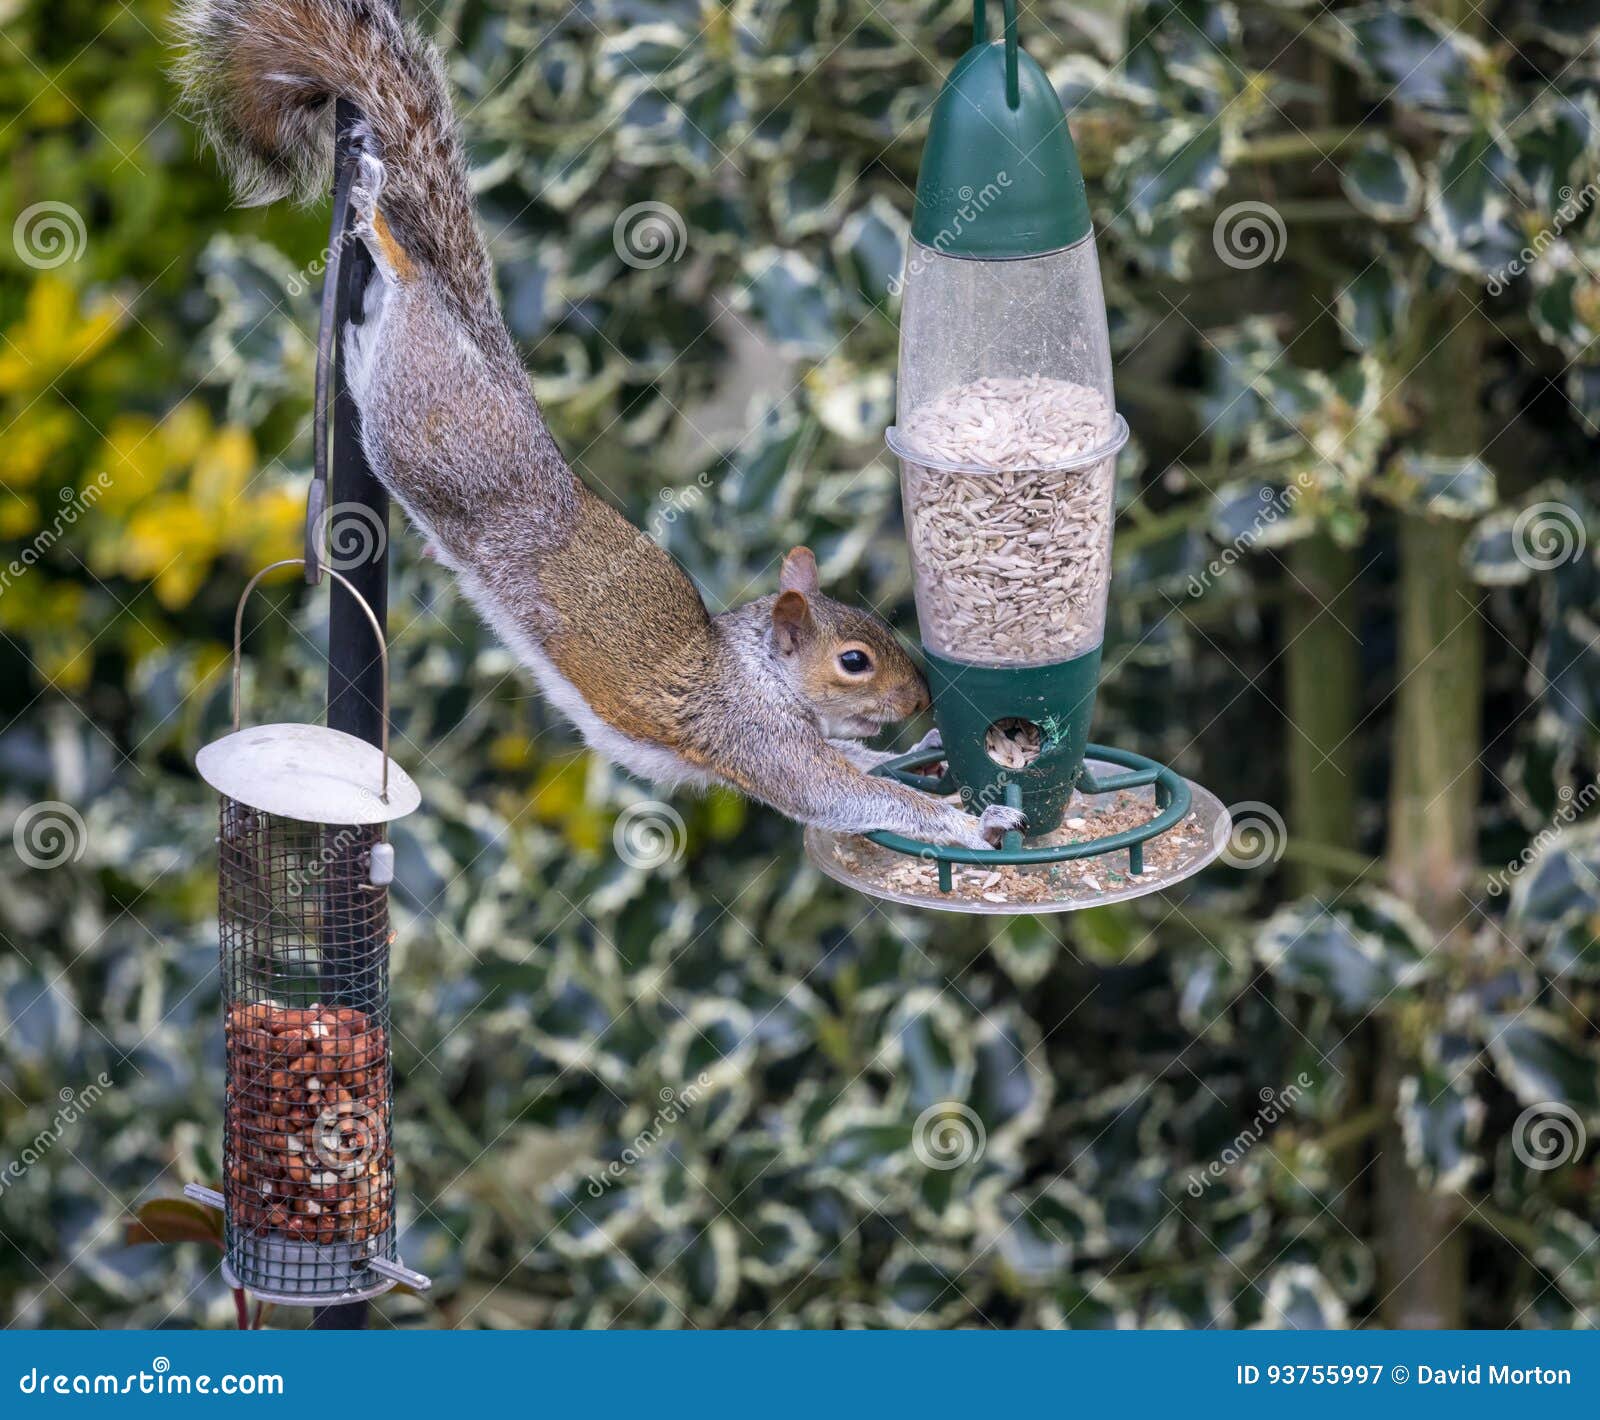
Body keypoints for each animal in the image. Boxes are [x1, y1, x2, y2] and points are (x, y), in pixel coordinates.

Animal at [174, 0, 1026, 851]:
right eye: (854, 661)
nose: (918, 701)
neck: (755, 670)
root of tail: (501, 379)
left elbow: (860, 764)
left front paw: (926, 752)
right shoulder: (752, 735)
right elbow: (842, 793)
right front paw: (965, 818)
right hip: (427, 429)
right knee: (411, 284)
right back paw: (378, 218)